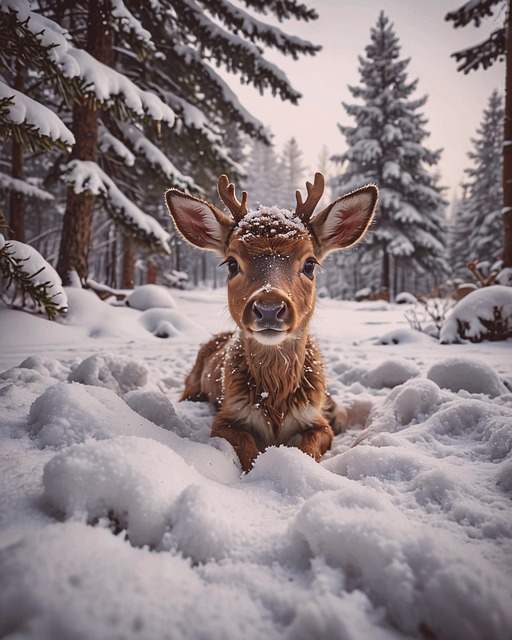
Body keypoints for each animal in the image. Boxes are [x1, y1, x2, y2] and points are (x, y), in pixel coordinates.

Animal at [165, 173, 378, 472]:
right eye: (232, 263)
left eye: (310, 263)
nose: (268, 307)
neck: (275, 398)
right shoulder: (226, 417)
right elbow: (246, 445)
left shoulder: (316, 421)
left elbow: (311, 446)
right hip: (193, 378)